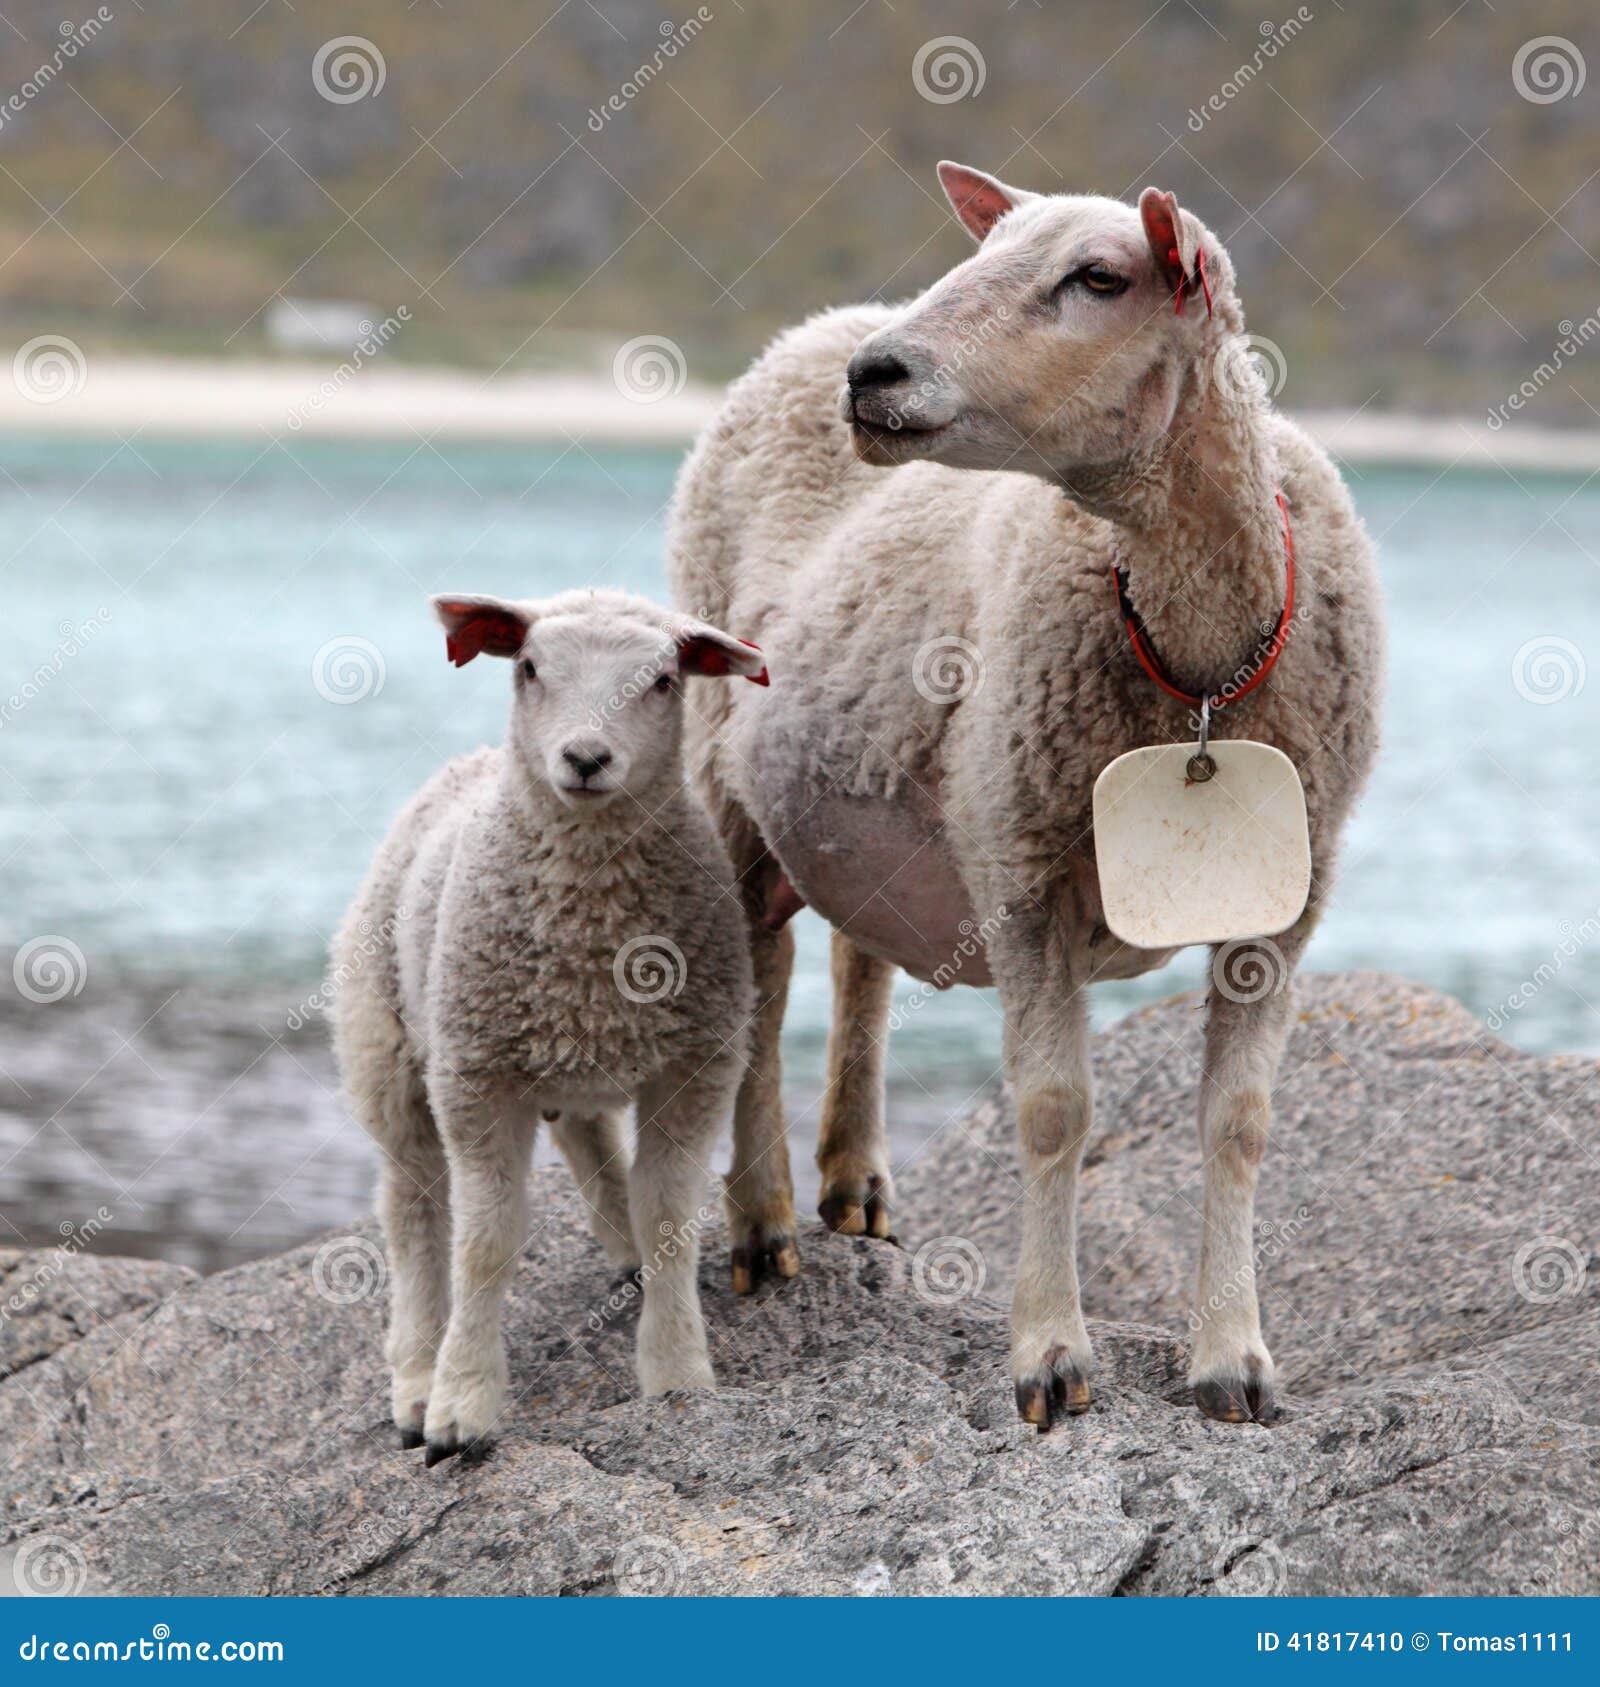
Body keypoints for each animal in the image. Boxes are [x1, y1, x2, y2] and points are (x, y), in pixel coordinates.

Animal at [331, 587, 767, 1464]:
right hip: (389, 1047)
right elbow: (486, 1242)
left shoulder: (696, 1066)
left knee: (587, 1140)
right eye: (530, 667)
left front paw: (677, 1372)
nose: (586, 758)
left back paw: (622, 1250)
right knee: (413, 1210)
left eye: (663, 680)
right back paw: (415, 1375)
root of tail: (465, 764)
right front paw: (462, 1404)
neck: (592, 917)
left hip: (567, 1051)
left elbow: (668, 1218)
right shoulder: (476, 1074)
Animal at [667, 163, 1384, 1428]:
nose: (875, 376)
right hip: (725, 765)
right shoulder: (1022, 870)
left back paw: (853, 1178)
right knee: (759, 973)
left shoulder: (1285, 904)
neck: (1198, 673)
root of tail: (819, 326)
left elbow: (1239, 1123)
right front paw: (1049, 1354)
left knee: (852, 959)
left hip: (865, 794)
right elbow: (1054, 1112)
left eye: (1096, 277)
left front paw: (1233, 1357)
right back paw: (759, 1222)